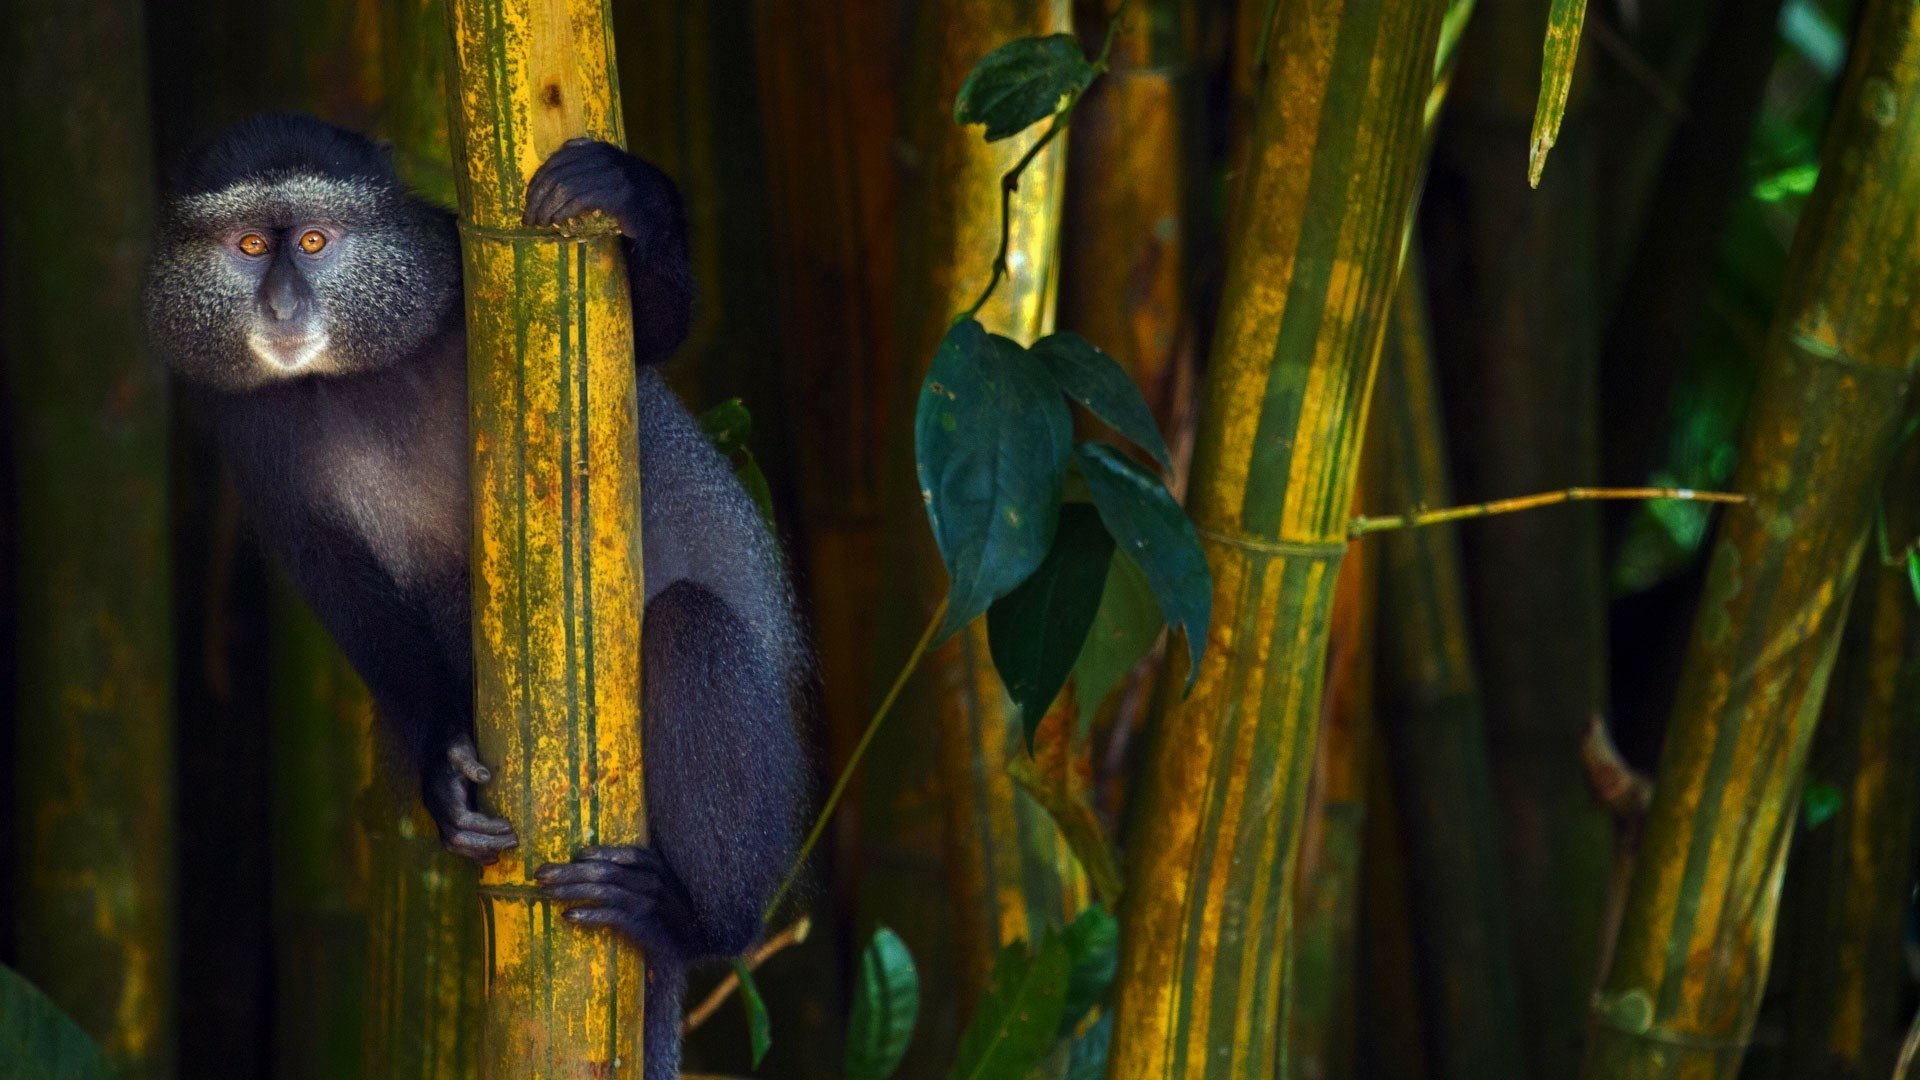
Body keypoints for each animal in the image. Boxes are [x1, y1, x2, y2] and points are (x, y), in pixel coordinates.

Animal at [145, 113, 806, 1077]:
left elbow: (644, 335)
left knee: (692, 629)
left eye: (315, 242)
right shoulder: (249, 435)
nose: (281, 307)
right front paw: (442, 769)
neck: (348, 380)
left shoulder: (468, 286)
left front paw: (631, 198)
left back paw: (689, 925)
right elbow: (343, 589)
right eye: (249, 247)